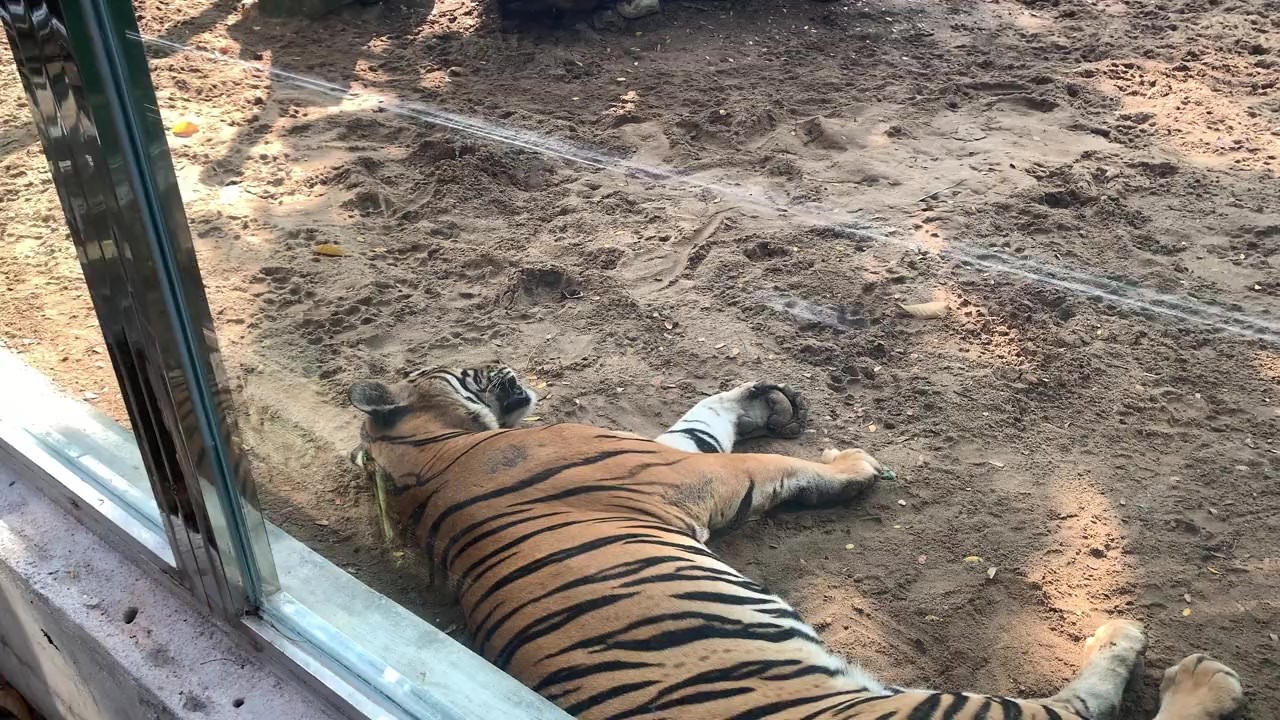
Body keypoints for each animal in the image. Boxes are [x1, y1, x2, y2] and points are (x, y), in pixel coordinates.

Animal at [348, 363, 1246, 720]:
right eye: (467, 367)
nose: (509, 369)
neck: (423, 466)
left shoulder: (670, 456)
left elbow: (707, 415)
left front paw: (761, 395)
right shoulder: (678, 474)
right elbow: (765, 462)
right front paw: (852, 464)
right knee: (1078, 707)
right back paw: (1184, 668)